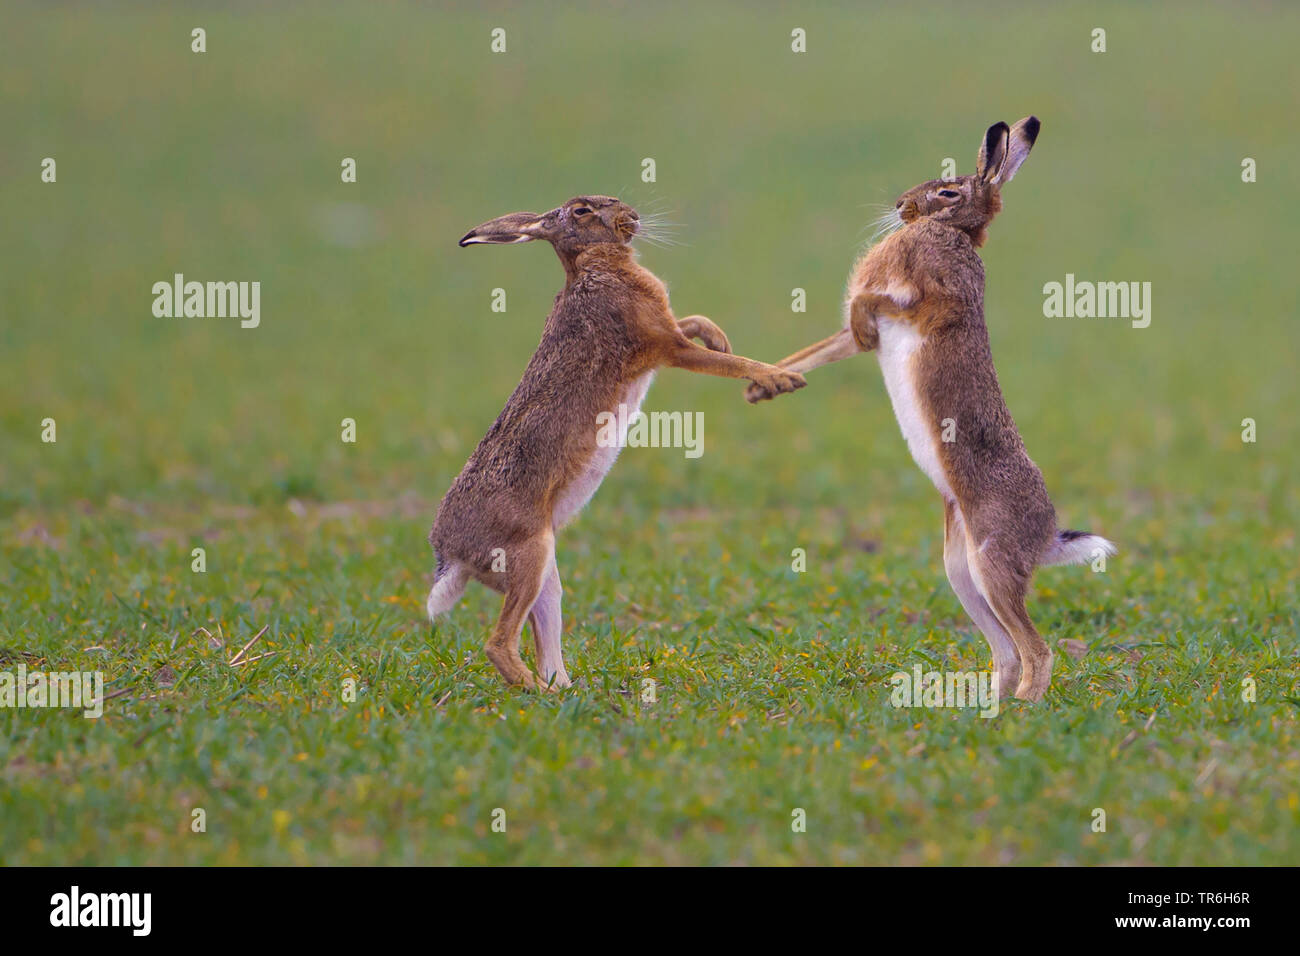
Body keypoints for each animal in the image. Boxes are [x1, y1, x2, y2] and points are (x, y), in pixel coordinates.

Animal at [428, 195, 807, 690]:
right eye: (582, 210)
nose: (633, 215)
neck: (592, 264)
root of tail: (450, 554)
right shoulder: (665, 346)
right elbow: (727, 362)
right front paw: (778, 377)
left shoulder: (667, 331)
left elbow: (692, 324)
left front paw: (718, 336)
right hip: (528, 556)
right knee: (499, 644)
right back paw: (539, 693)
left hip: (545, 575)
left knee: (544, 633)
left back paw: (565, 690)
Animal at [748, 117, 1114, 702]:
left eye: (948, 193)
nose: (901, 205)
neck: (955, 233)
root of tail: (1046, 536)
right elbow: (823, 348)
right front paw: (765, 384)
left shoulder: (932, 300)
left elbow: (869, 304)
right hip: (960, 569)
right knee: (1006, 652)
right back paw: (987, 706)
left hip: (992, 561)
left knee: (1038, 651)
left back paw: (1022, 711)